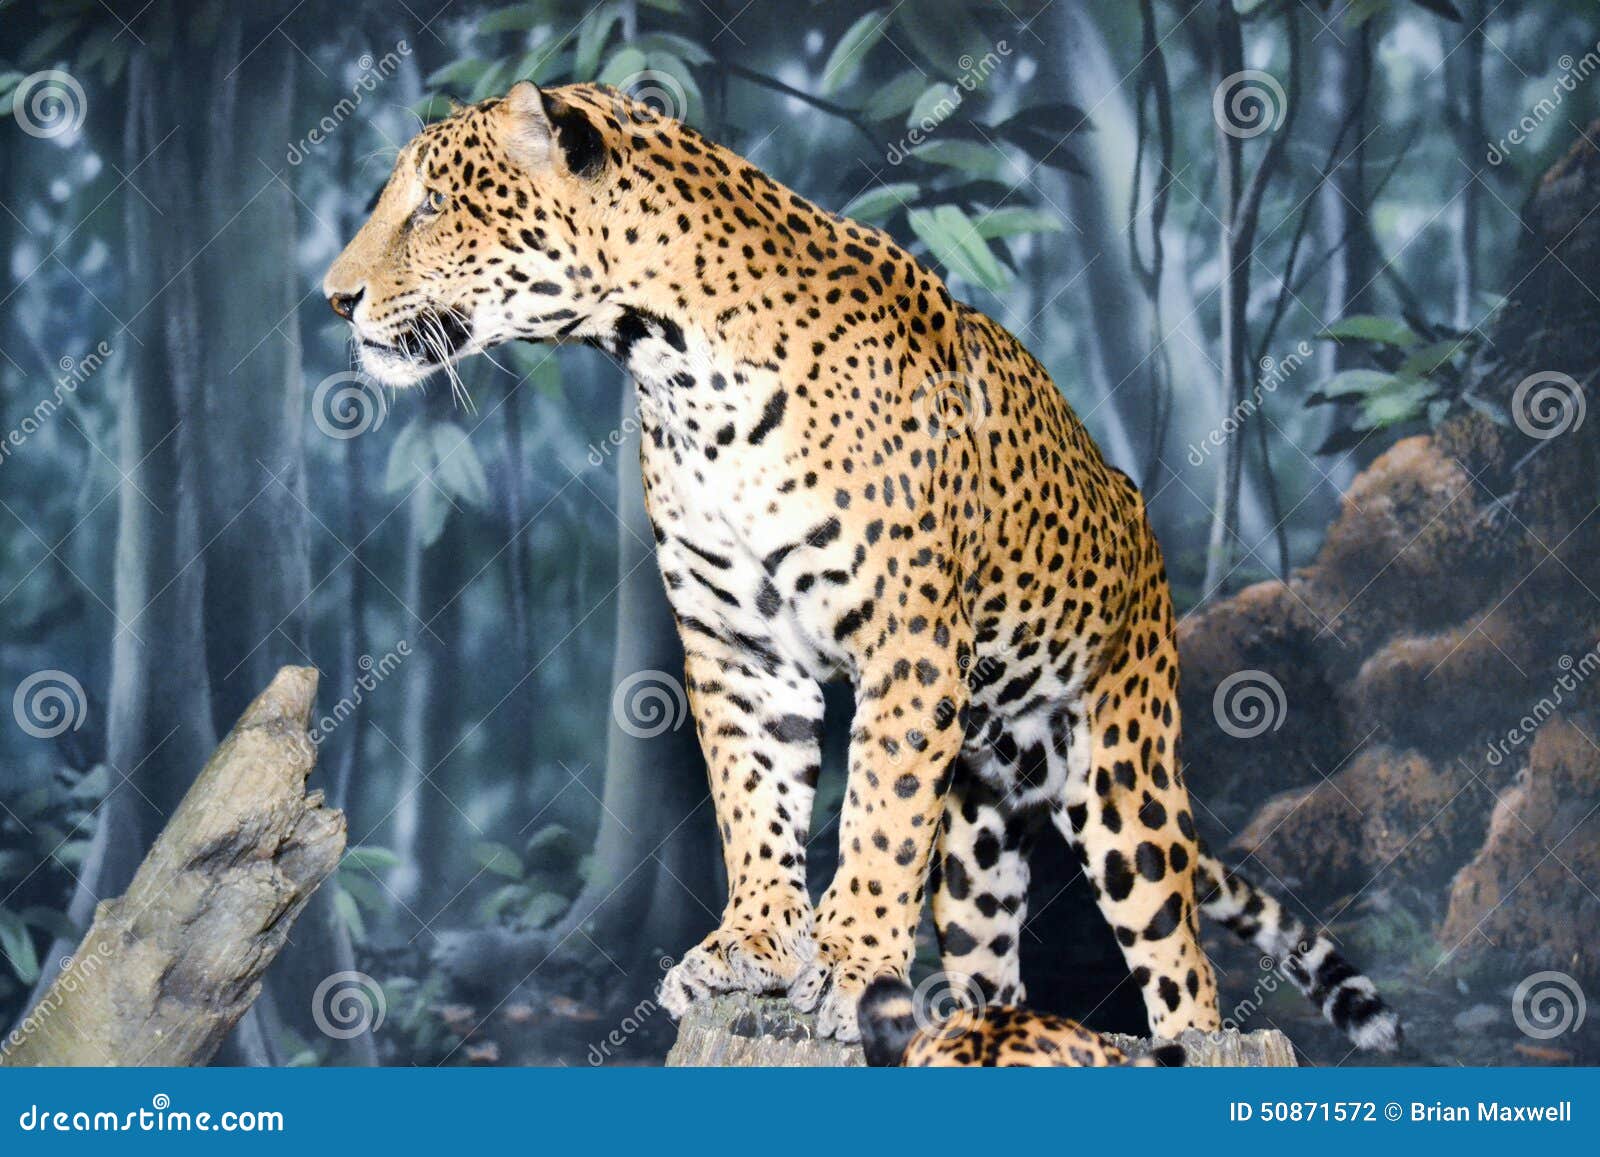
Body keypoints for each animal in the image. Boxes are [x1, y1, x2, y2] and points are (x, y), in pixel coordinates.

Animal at [324, 80, 1400, 1050]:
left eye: (431, 203)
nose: (334, 298)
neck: (673, 368)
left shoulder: (907, 639)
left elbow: (878, 813)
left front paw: (846, 962)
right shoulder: (739, 647)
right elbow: (752, 795)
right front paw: (752, 942)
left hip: (1124, 774)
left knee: (1182, 958)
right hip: (977, 843)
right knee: (990, 964)